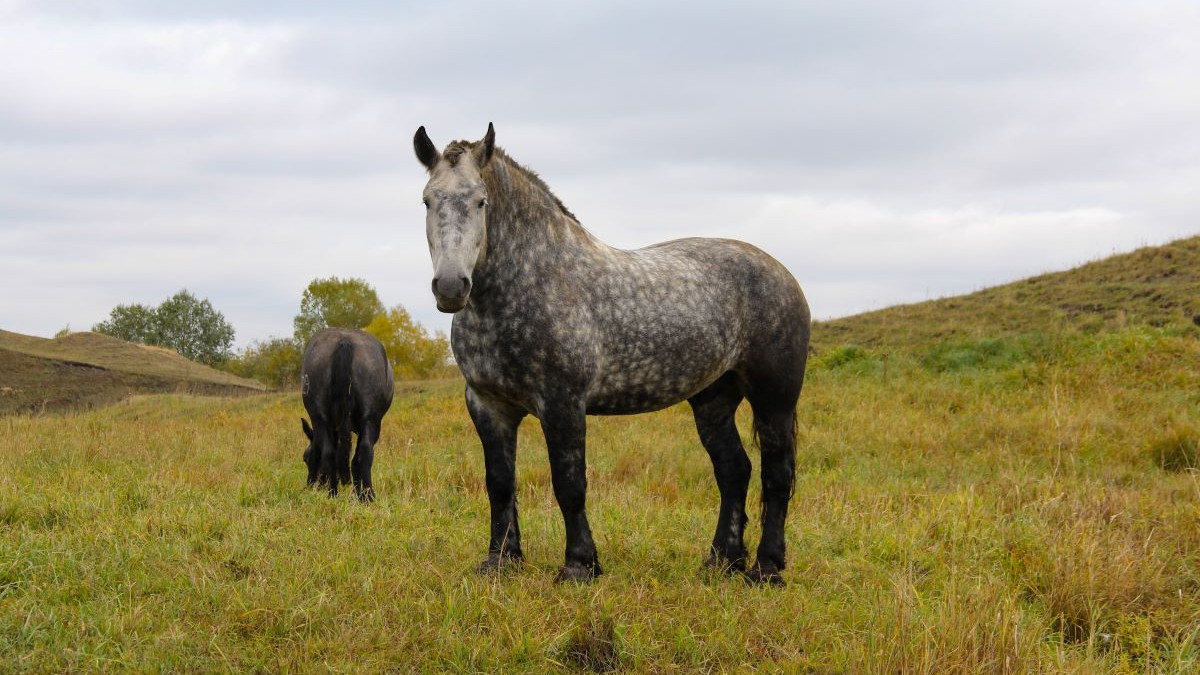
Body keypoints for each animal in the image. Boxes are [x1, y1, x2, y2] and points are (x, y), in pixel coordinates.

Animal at [300, 328, 394, 501]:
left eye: (305, 458)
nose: (310, 485)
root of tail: (344, 341)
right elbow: (355, 461)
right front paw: (357, 494)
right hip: (371, 420)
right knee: (364, 452)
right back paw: (367, 495)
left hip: (321, 418)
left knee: (331, 453)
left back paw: (335, 494)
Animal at [412, 123, 810, 585]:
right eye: (427, 200)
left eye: (481, 201)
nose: (450, 287)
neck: (533, 278)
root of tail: (781, 272)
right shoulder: (487, 406)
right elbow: (499, 484)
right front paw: (500, 560)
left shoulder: (562, 403)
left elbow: (569, 484)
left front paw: (579, 565)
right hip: (713, 400)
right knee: (734, 472)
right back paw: (721, 560)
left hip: (774, 399)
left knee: (776, 475)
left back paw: (766, 568)